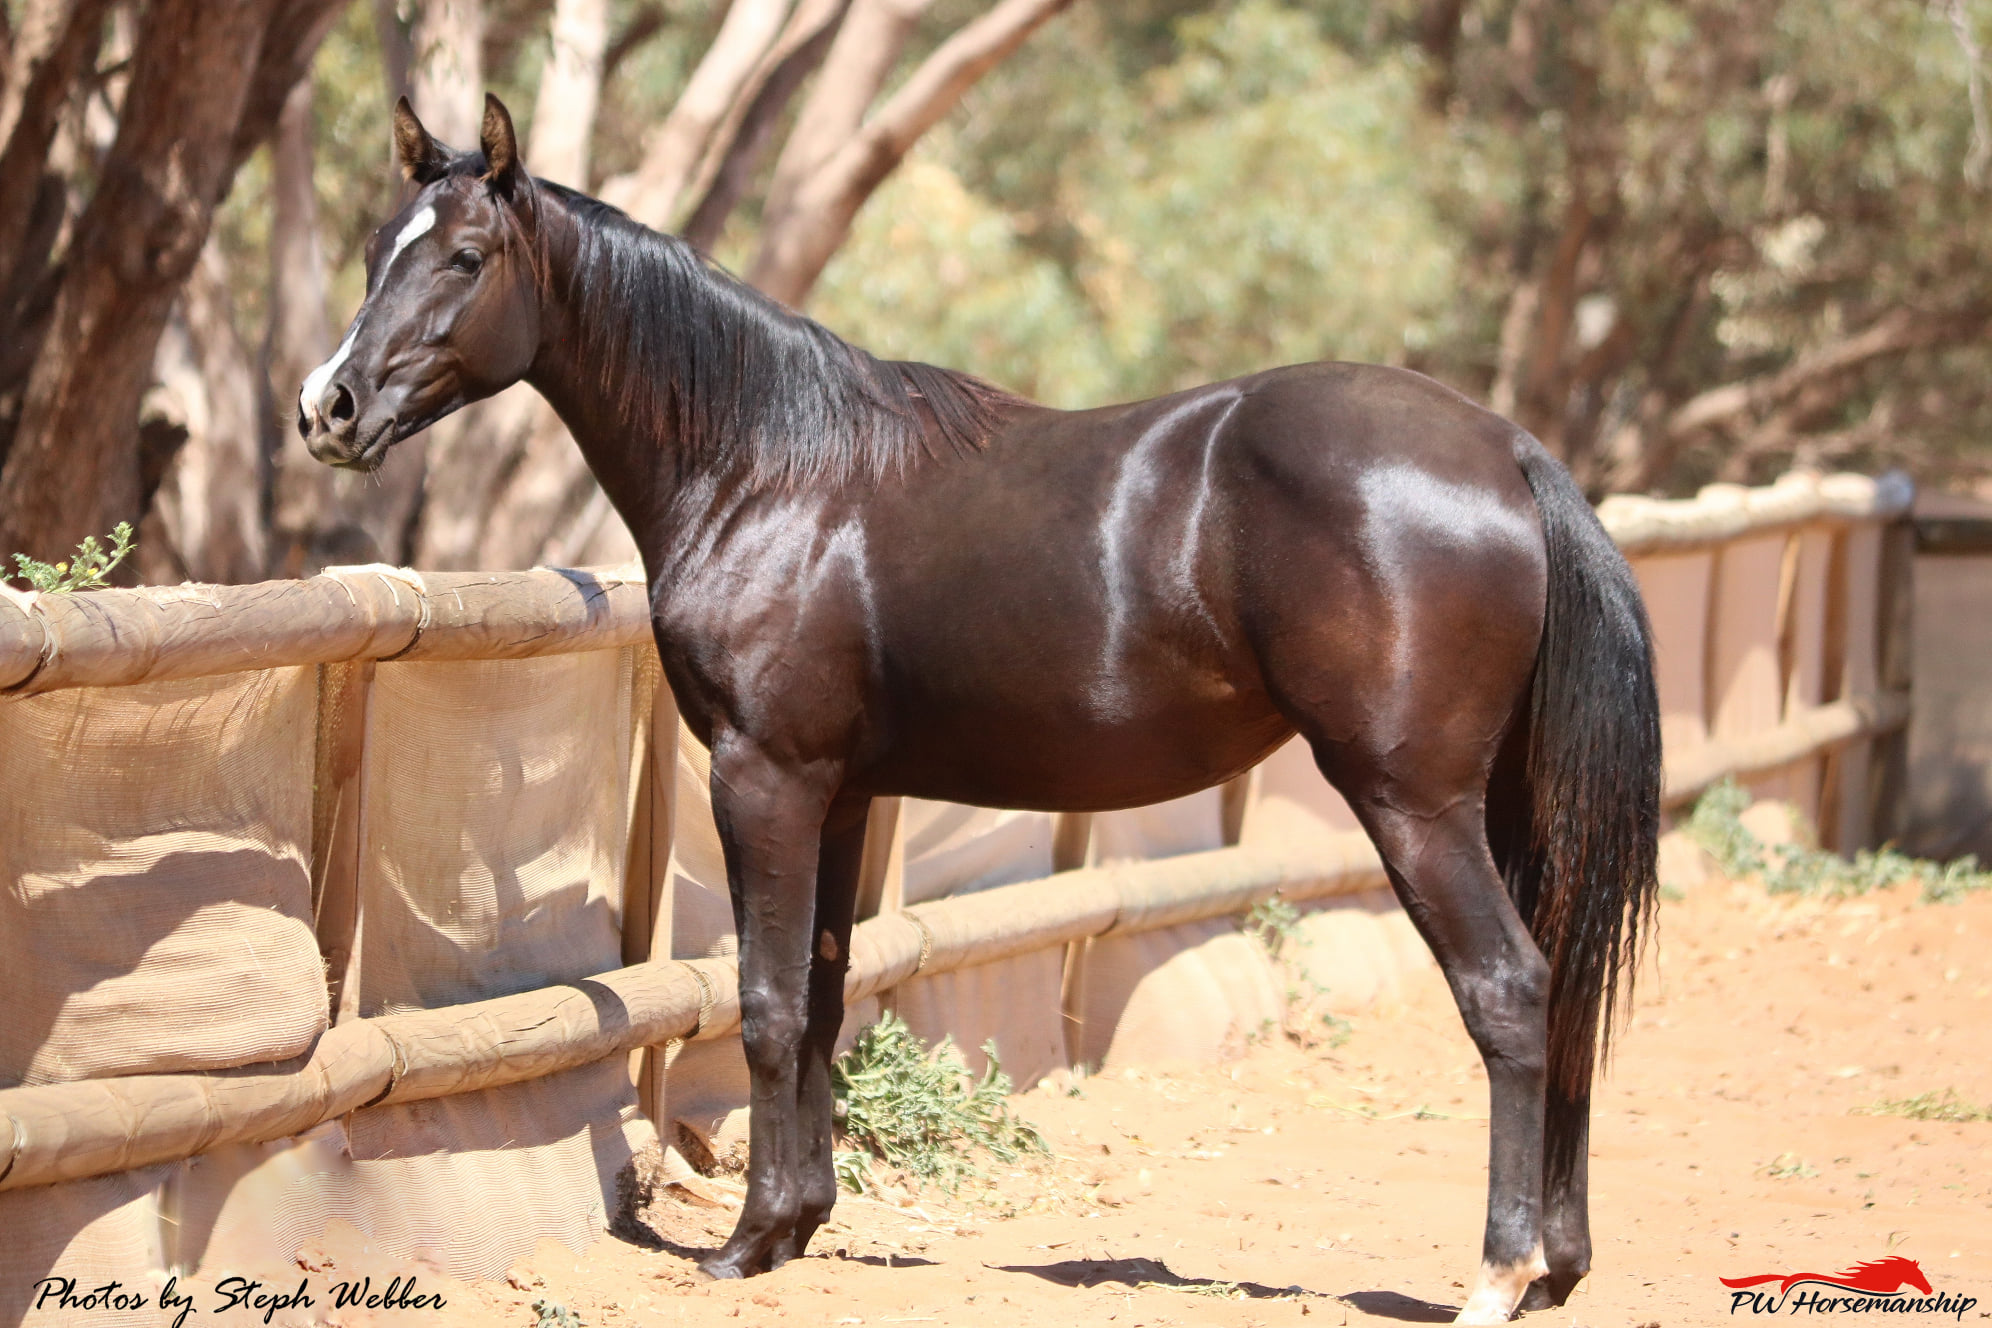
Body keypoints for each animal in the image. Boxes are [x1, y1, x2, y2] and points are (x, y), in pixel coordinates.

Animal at [298, 94, 1659, 1324]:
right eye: (372, 248)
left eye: (465, 257)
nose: (328, 408)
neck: (768, 468)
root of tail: (1506, 452)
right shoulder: (842, 789)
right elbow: (826, 993)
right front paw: (797, 1223)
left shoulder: (762, 775)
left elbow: (767, 1001)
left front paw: (741, 1244)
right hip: (1504, 805)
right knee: (1567, 992)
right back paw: (1560, 1267)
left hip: (1413, 802)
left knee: (1510, 991)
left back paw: (1497, 1275)